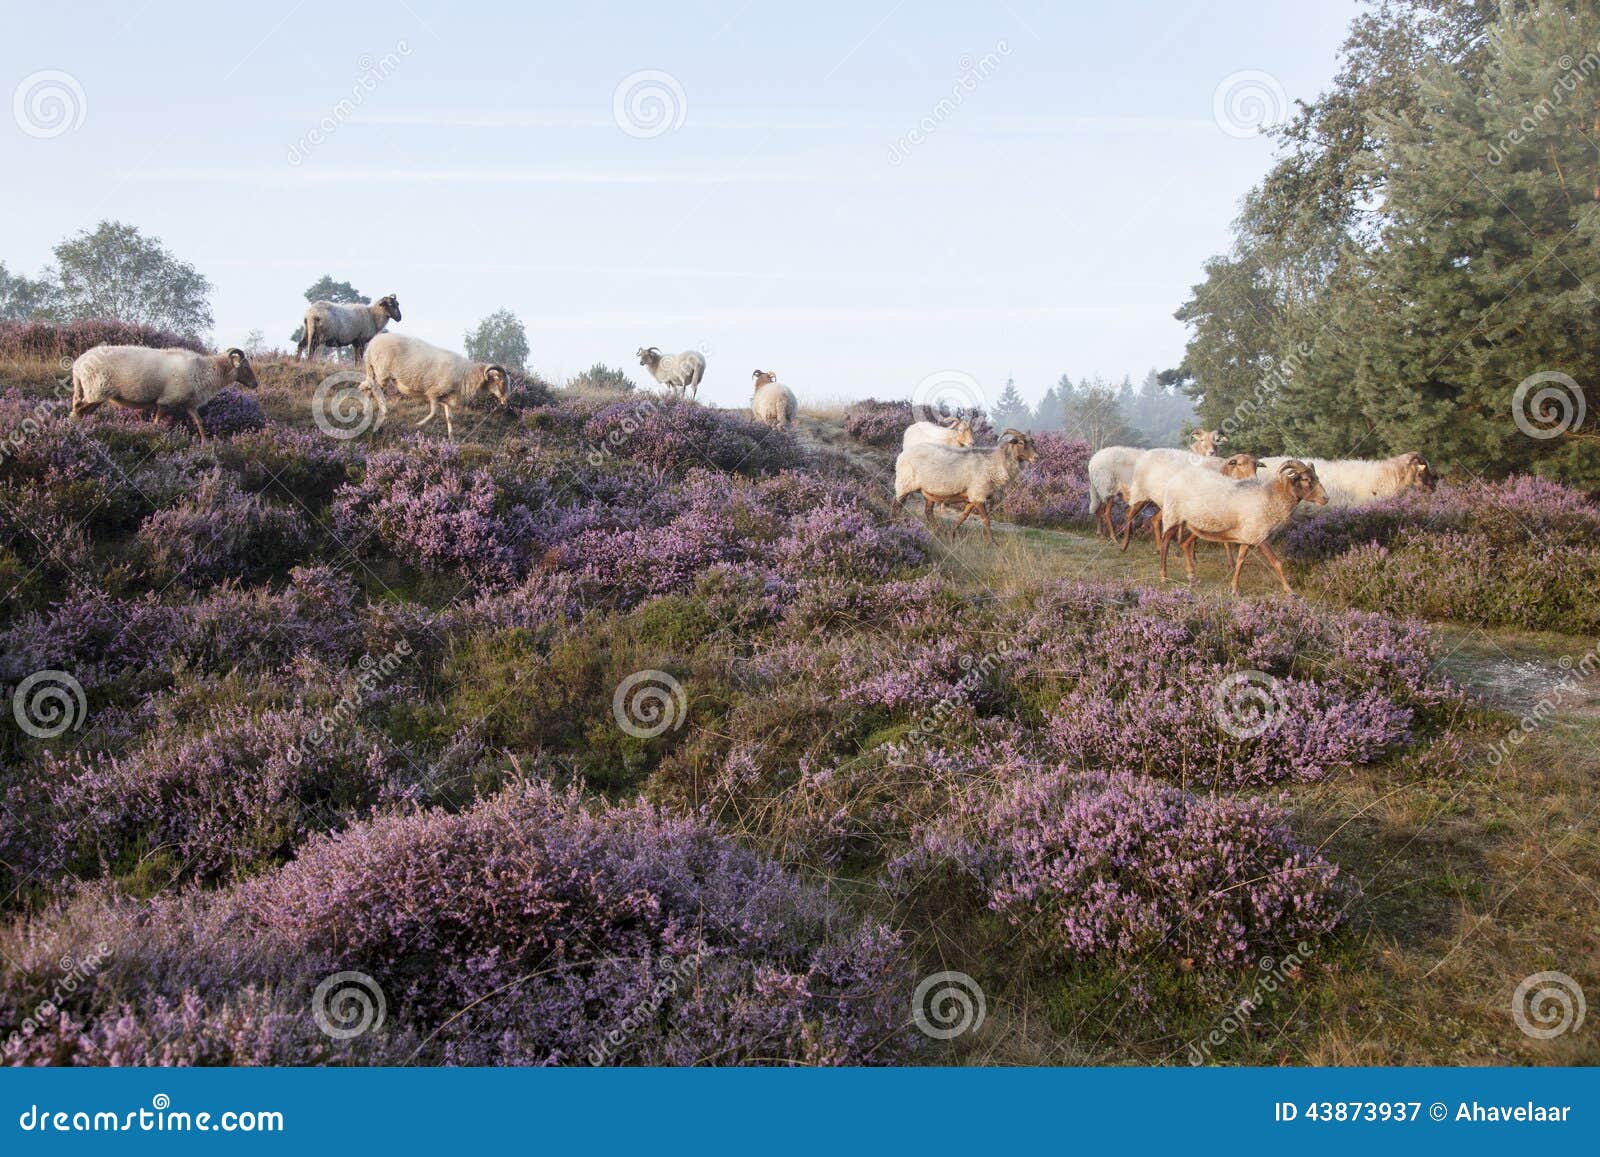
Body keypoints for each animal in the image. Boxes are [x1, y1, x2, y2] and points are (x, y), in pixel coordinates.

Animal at [69, 344, 258, 442]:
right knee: (77, 410)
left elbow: (199, 422)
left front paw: (206, 442)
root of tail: (78, 364)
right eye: (245, 367)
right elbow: (157, 422)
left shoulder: (189, 404)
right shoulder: (165, 401)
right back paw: (76, 430)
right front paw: (154, 435)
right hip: (96, 391)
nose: (256, 384)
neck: (204, 370)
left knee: (81, 411)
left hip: (95, 395)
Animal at [361, 332, 509, 441]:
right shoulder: (433, 393)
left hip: (374, 372)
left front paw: (451, 439)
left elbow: (449, 418)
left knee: (367, 388)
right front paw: (417, 424)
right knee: (370, 389)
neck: (466, 374)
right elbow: (433, 413)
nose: (506, 401)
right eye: (501, 382)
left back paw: (366, 411)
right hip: (382, 374)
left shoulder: (446, 398)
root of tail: (373, 343)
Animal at [893, 428, 1038, 545]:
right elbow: (986, 520)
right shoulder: (978, 494)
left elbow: (963, 516)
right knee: (896, 505)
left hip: (929, 491)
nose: (1036, 457)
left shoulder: (972, 497)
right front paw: (993, 543)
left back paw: (939, 531)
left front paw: (951, 533)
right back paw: (895, 523)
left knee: (928, 512)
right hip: (904, 484)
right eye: (1020, 443)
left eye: (1033, 443)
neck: (996, 462)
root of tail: (902, 454)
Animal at [1157, 459, 1328, 594]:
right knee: (1165, 543)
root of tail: (1177, 477)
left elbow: (1240, 562)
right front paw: (1290, 591)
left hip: (1195, 524)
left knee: (1184, 544)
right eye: (1305, 479)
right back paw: (1164, 576)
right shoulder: (1259, 536)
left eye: (1317, 477)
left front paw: (1234, 589)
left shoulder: (1247, 536)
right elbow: (1276, 563)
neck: (1269, 498)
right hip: (1172, 517)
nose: (1325, 498)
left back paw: (1192, 578)